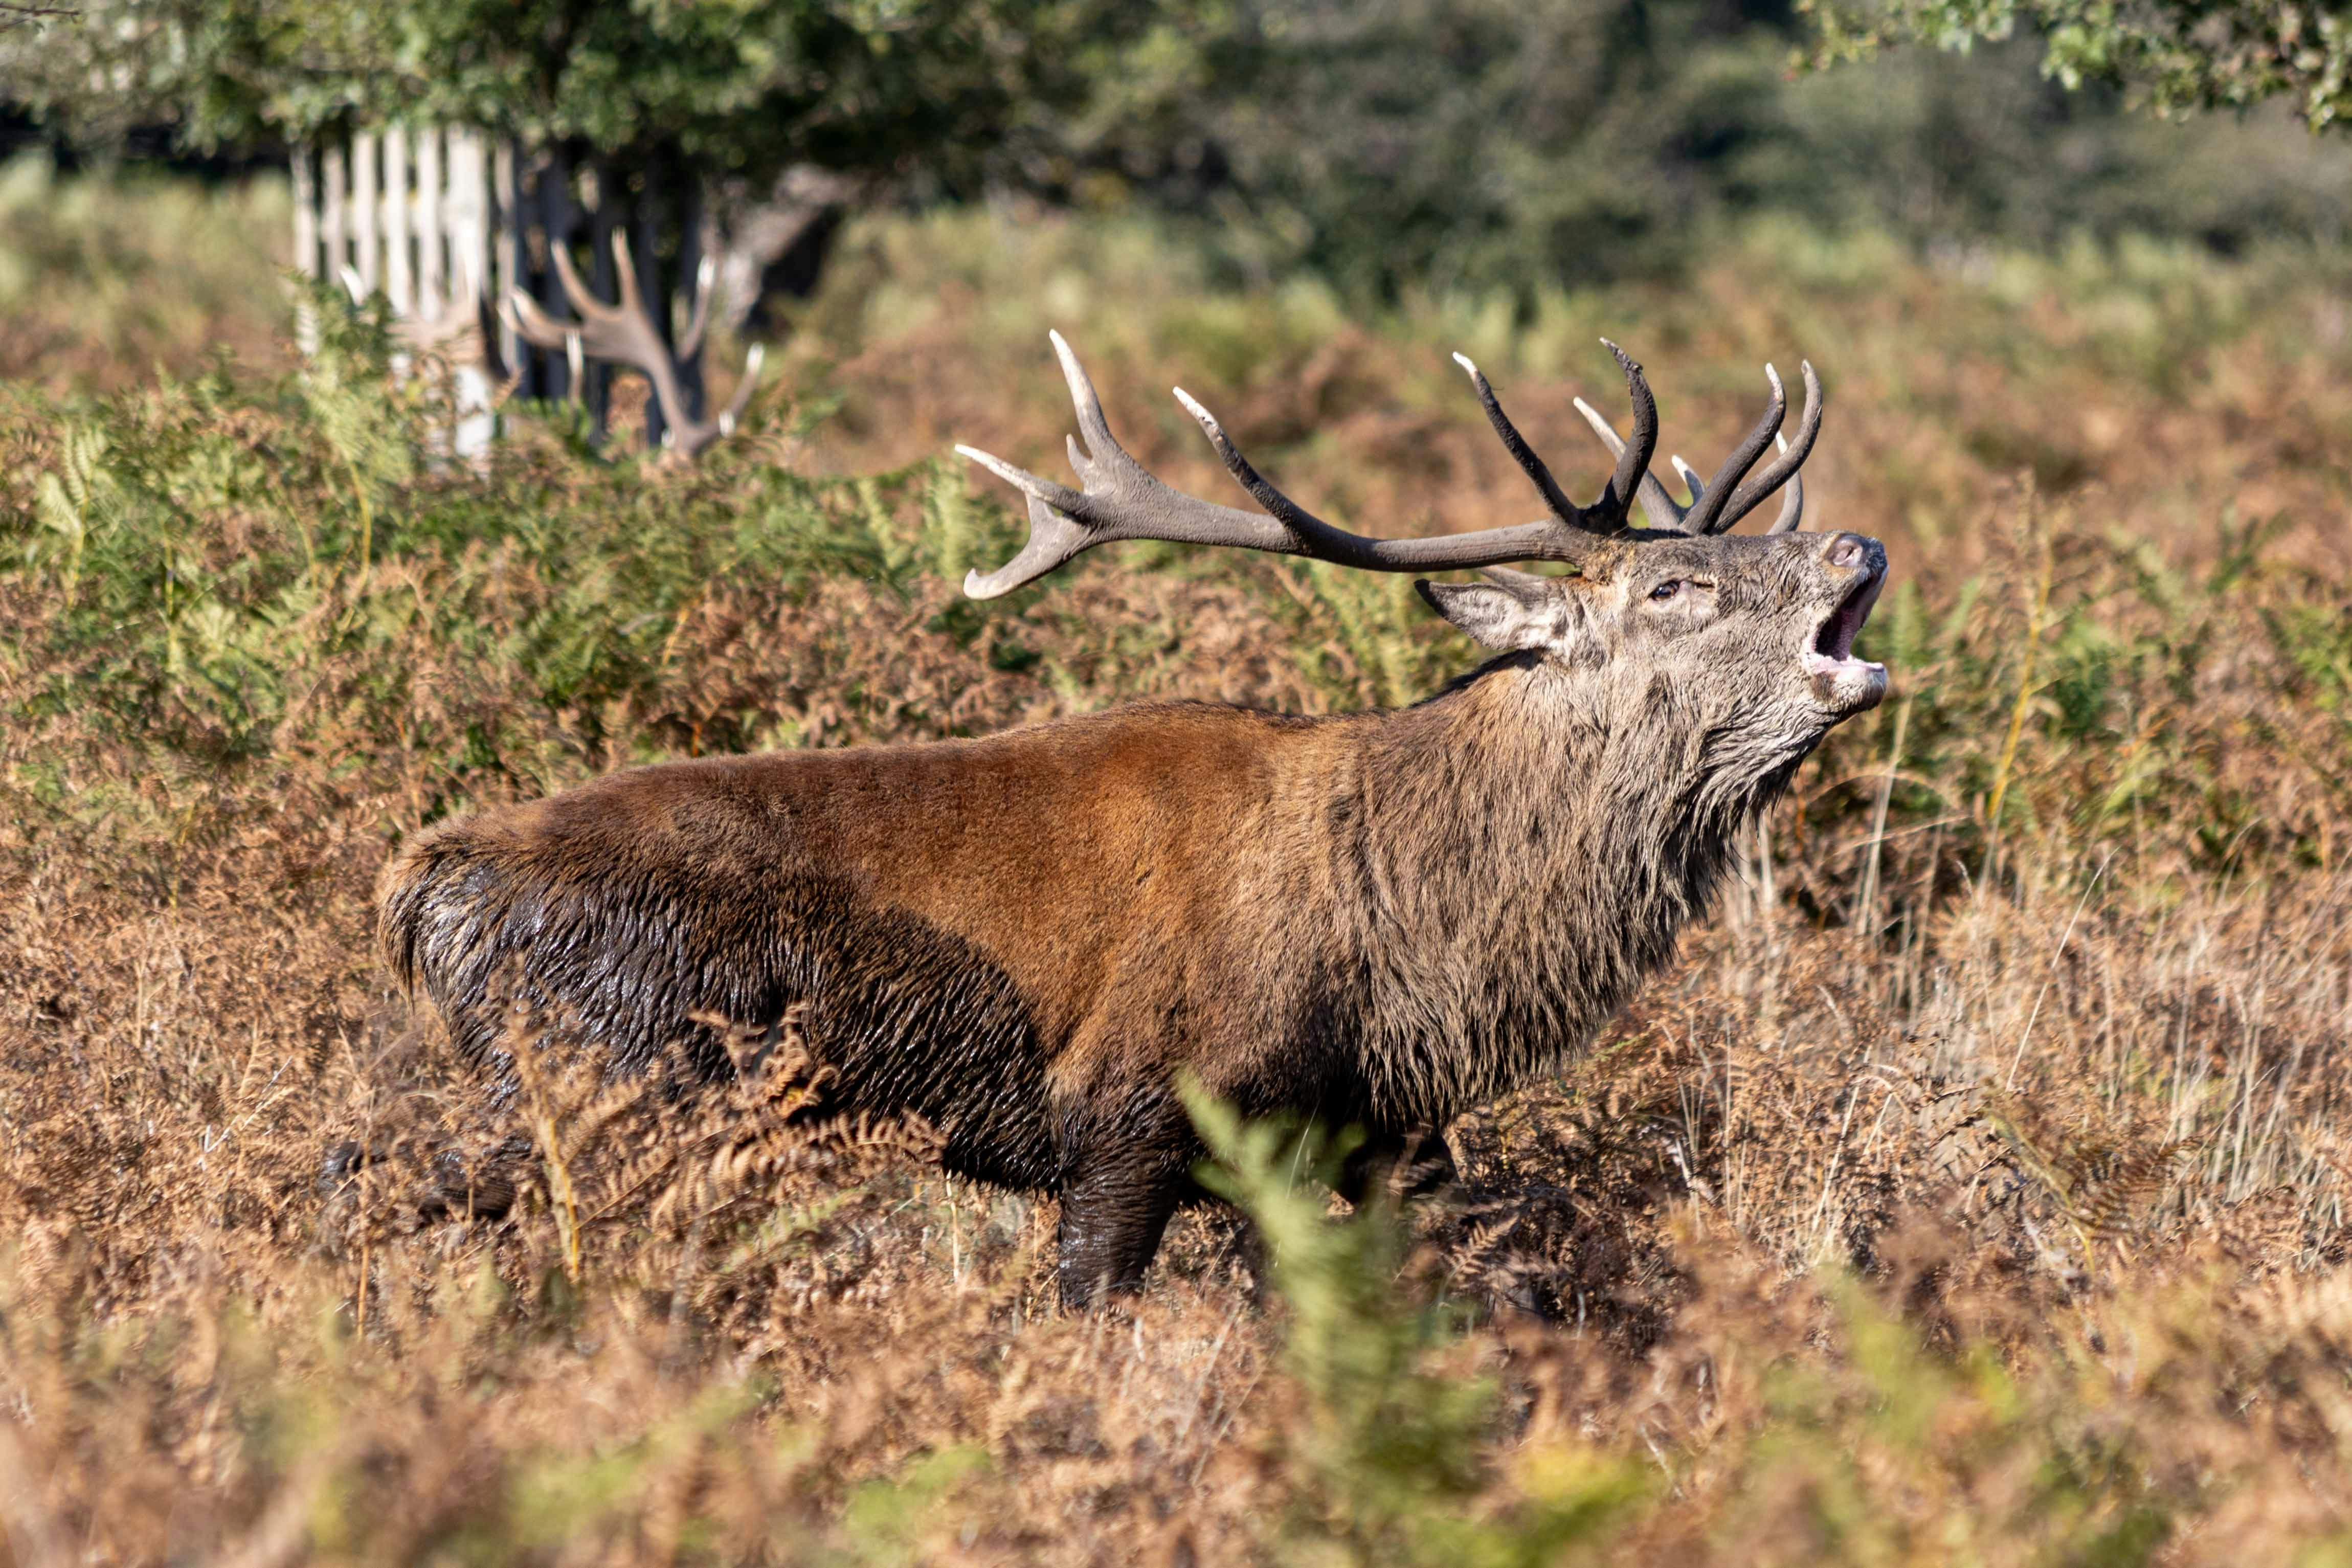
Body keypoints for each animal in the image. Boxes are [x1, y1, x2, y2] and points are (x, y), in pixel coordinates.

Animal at [376, 332, 1888, 1306]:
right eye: (1673, 586)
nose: (1855, 542)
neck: (1407, 950)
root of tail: (421, 887)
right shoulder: (1126, 1115)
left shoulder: (1368, 1138)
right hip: (599, 1068)